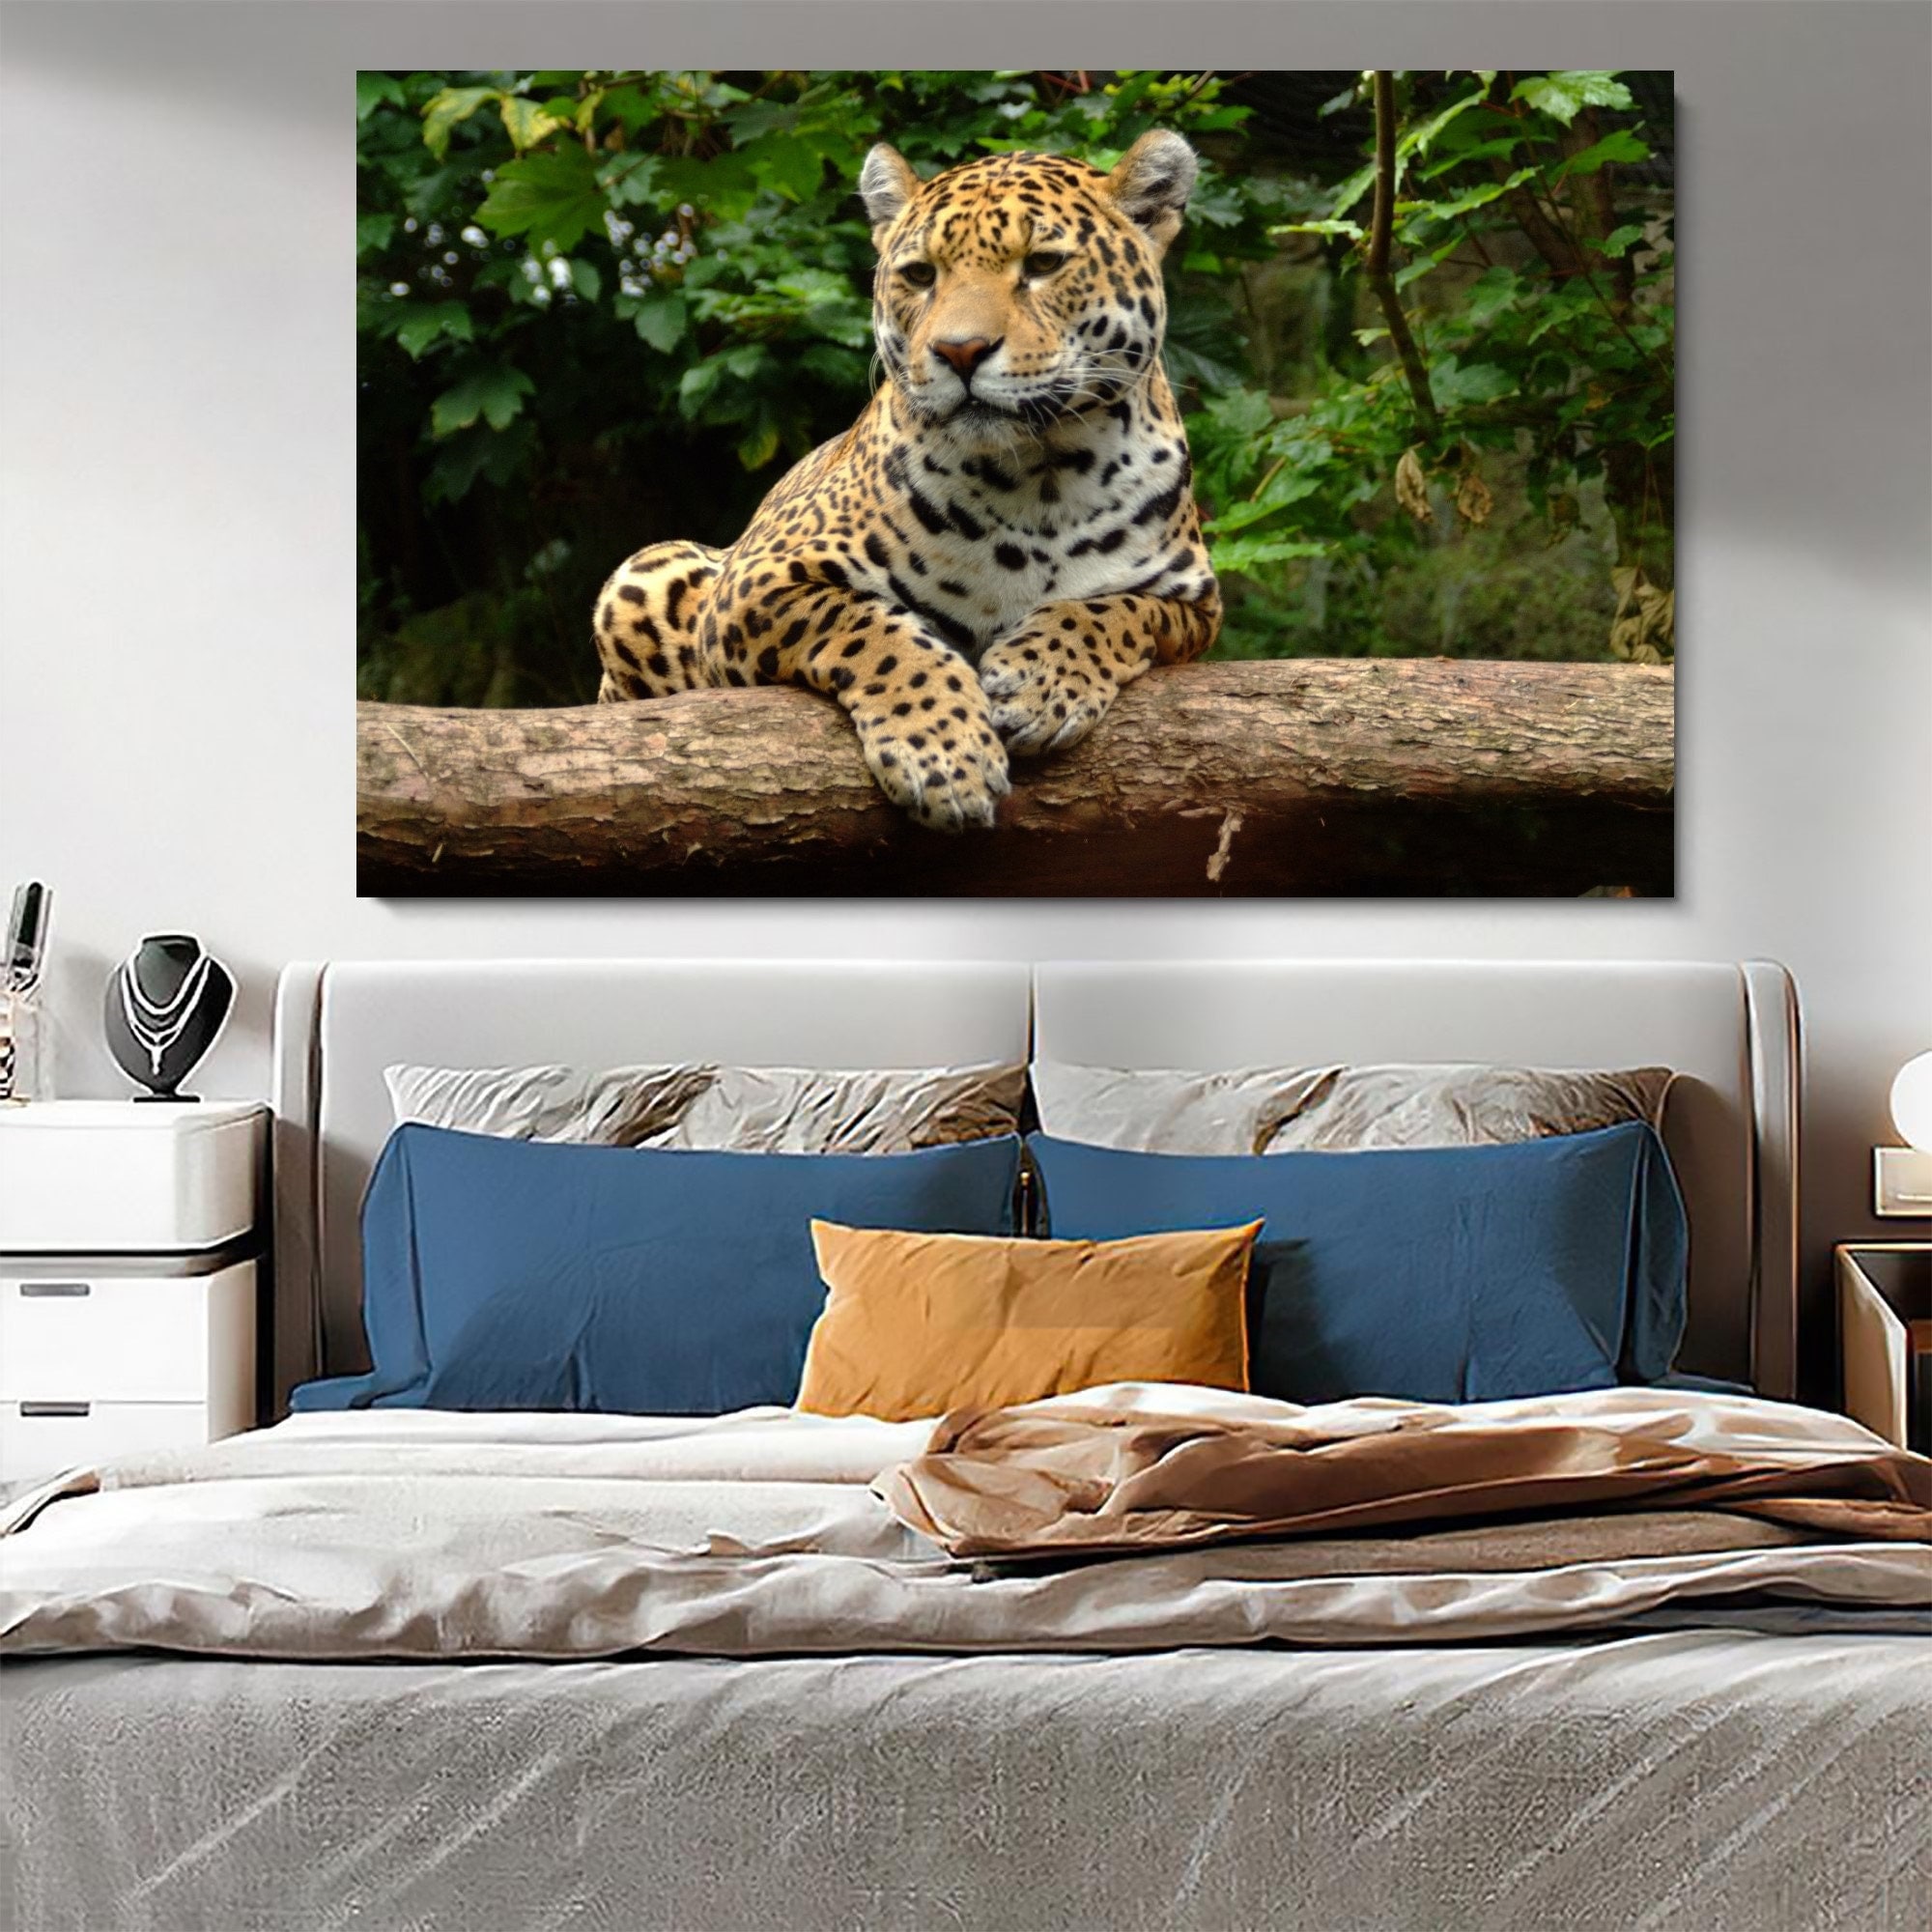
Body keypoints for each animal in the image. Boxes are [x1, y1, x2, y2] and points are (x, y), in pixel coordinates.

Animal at [591, 129, 1221, 832]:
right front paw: (944, 757)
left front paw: (1040, 682)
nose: (960, 351)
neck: (1042, 479)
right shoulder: (754, 584)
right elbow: (871, 628)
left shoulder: (1195, 604)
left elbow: (1114, 611)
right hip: (652, 569)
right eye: (921, 275)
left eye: (1042, 263)